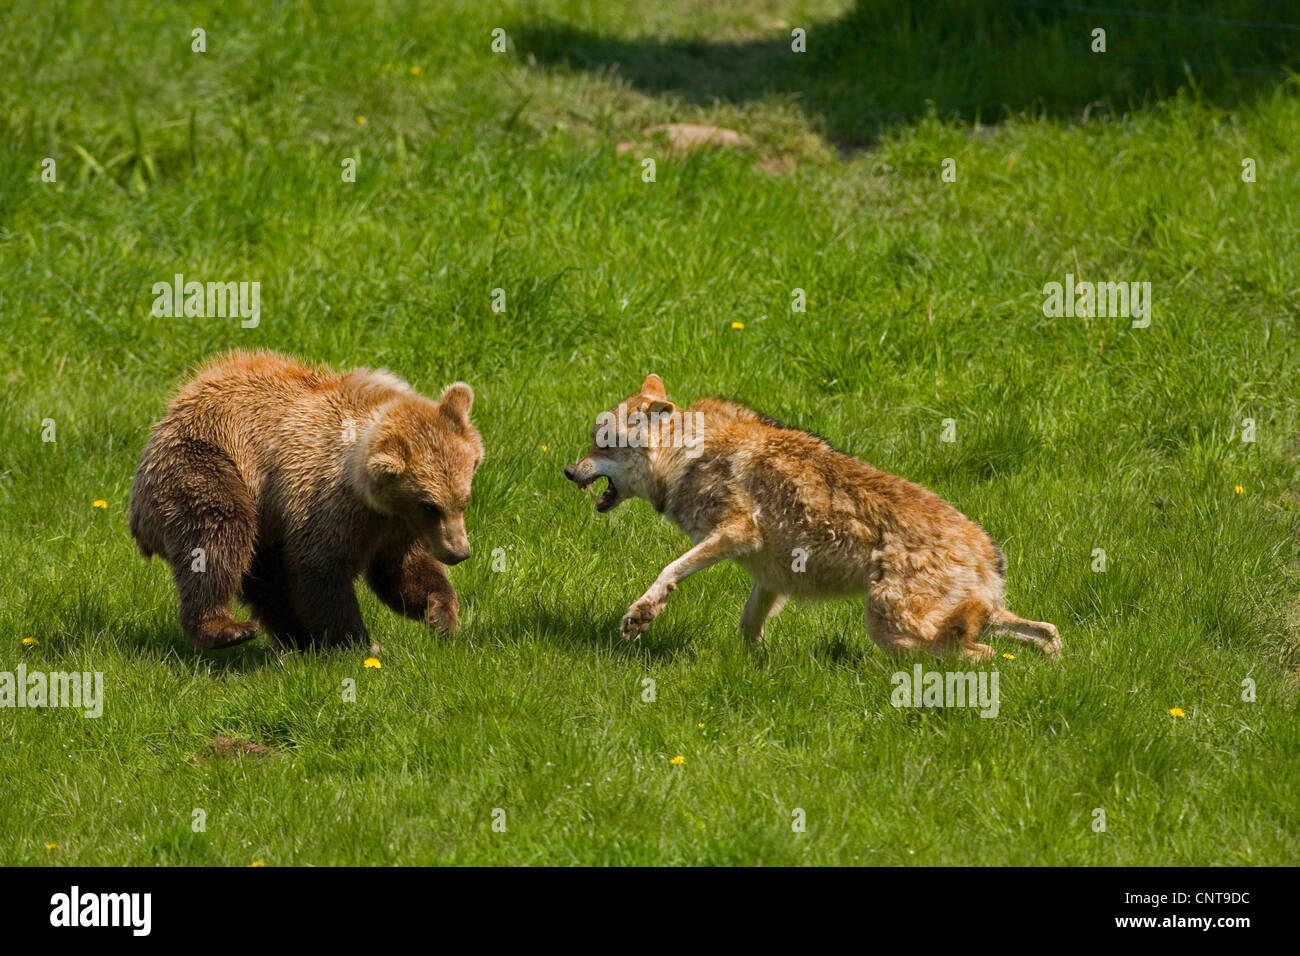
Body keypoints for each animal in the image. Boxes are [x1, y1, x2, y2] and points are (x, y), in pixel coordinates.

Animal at [564, 375, 1060, 661]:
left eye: (602, 444)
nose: (569, 471)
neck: (686, 455)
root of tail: (987, 549)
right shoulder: (770, 579)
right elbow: (749, 628)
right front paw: (756, 668)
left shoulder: (736, 533)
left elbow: (669, 571)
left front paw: (641, 615)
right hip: (970, 615)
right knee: (1046, 633)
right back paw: (1052, 665)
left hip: (895, 628)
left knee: (982, 654)